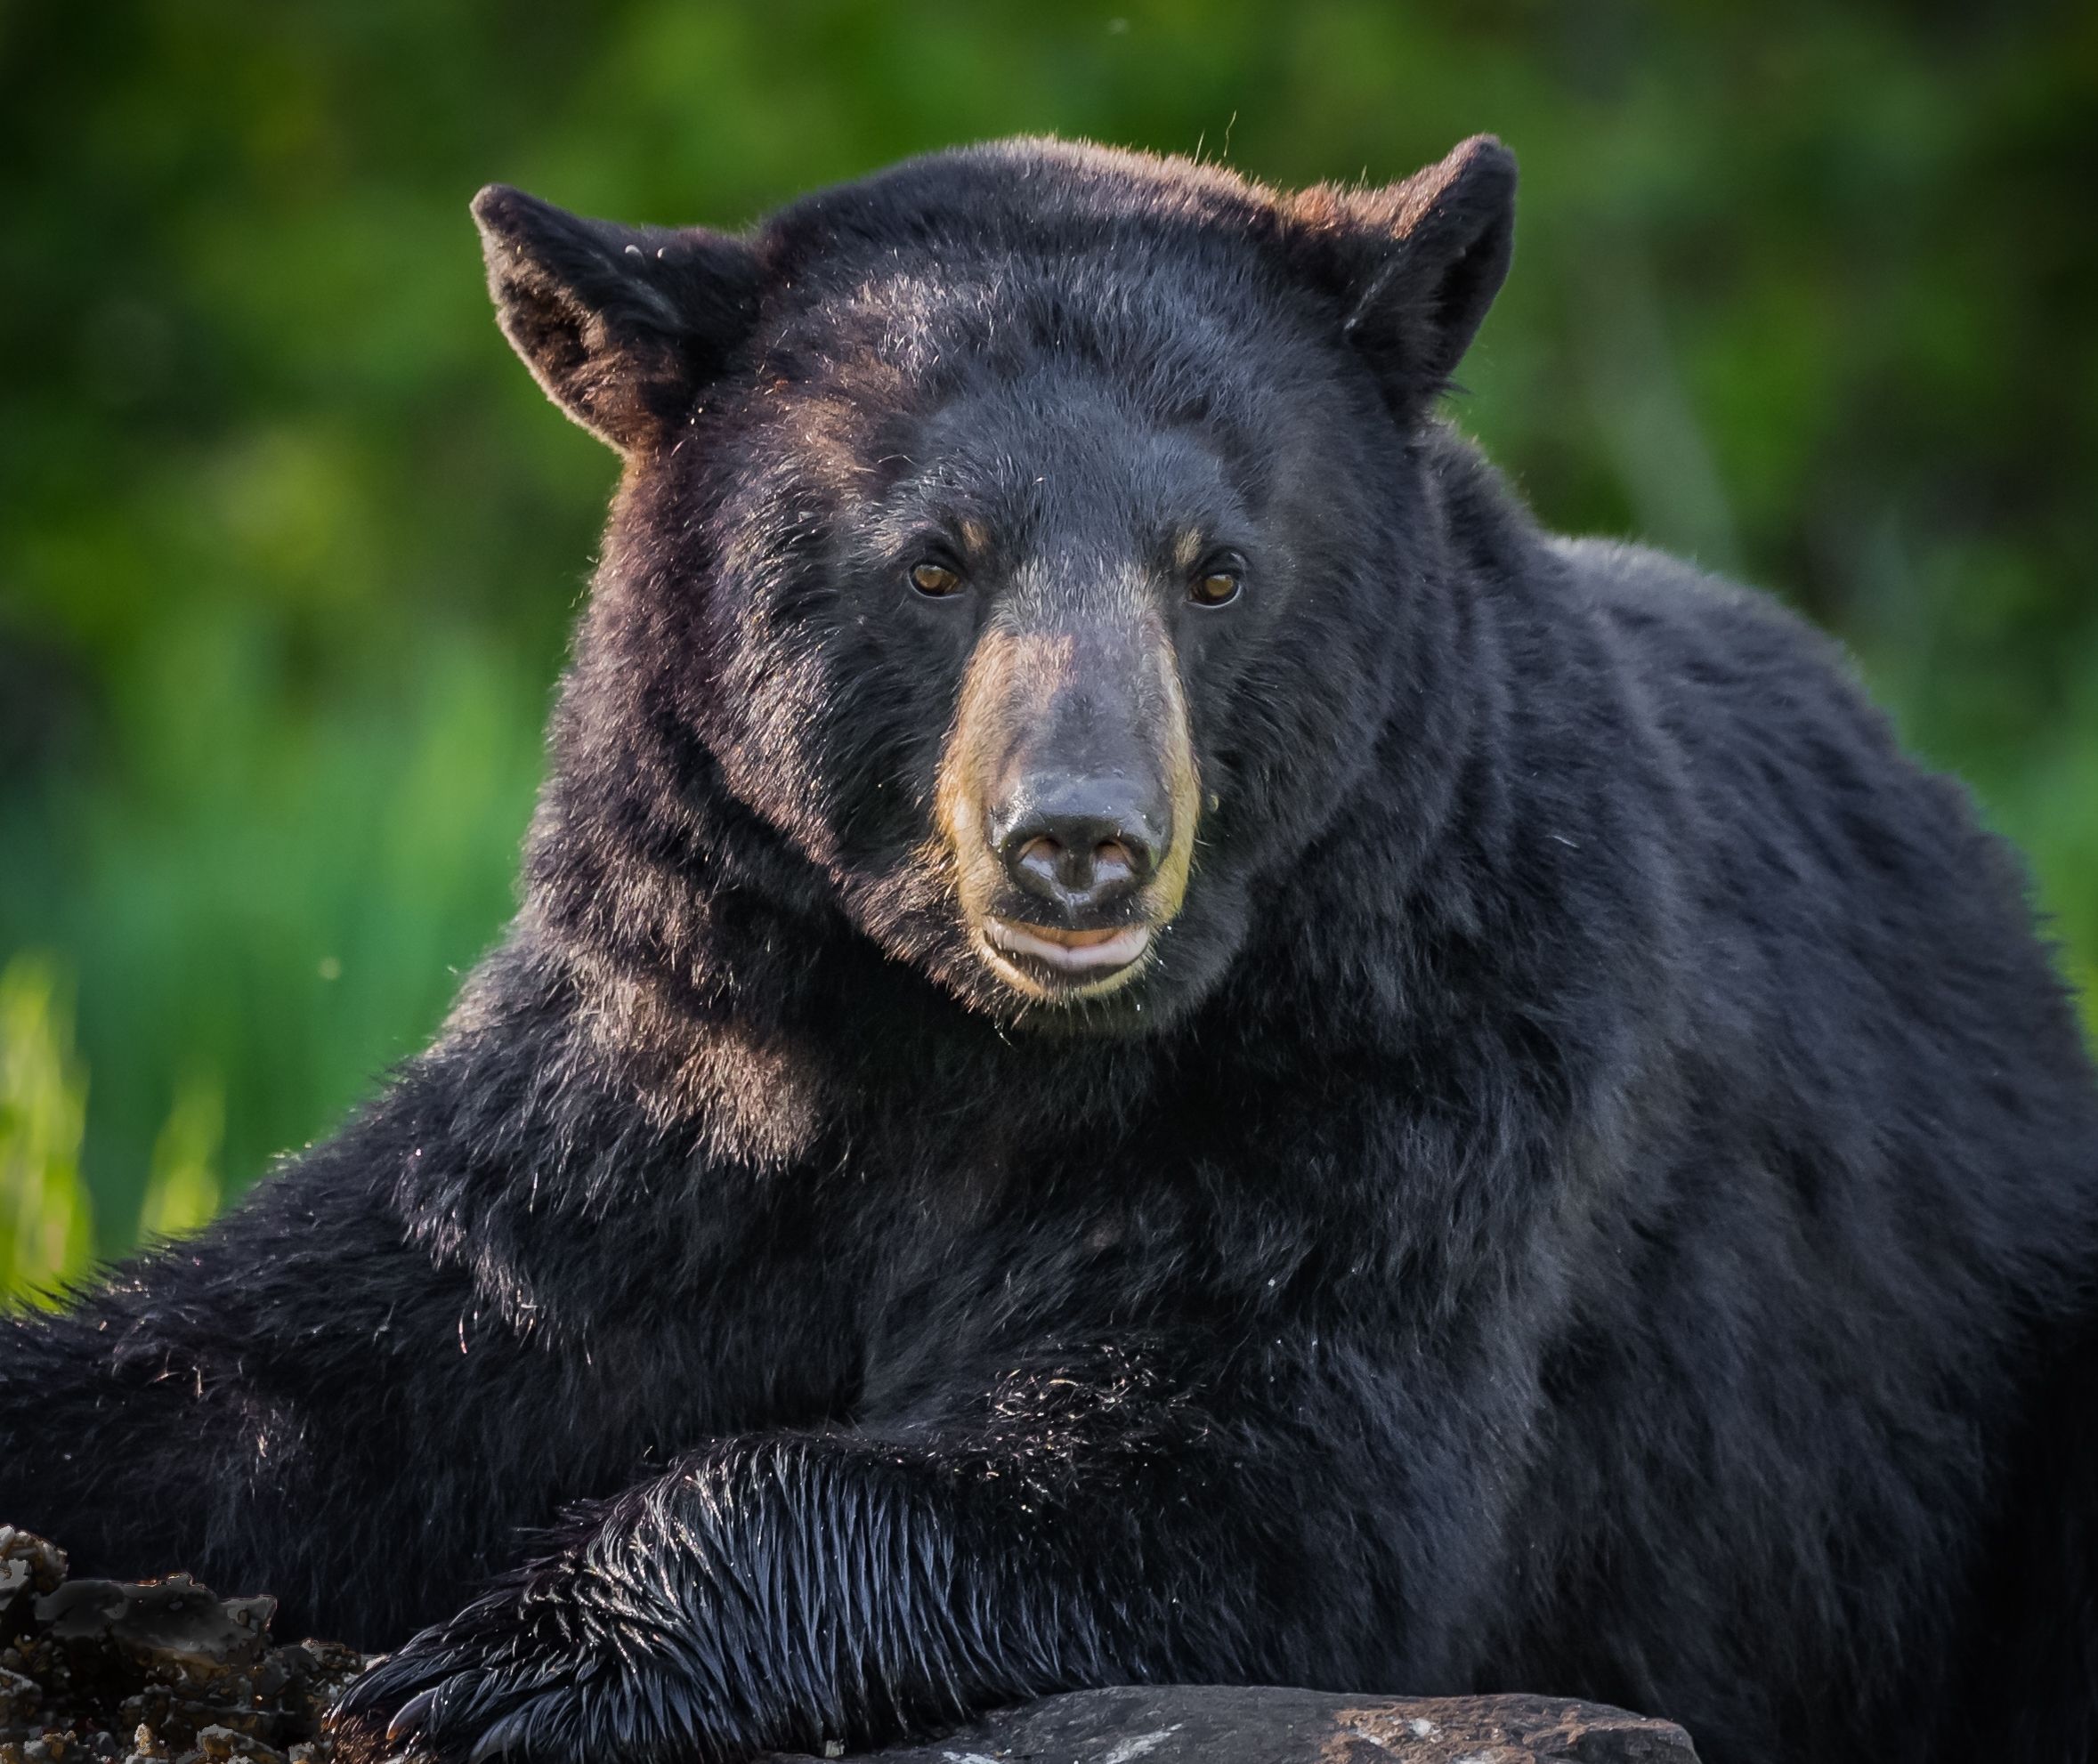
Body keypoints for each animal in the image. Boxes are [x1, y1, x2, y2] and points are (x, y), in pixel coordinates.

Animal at [4, 133, 2097, 1764]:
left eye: (1215, 567)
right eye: (933, 557)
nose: (1079, 845)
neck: (965, 1052)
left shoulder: (1433, 1053)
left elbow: (1245, 1476)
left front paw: (515, 1654)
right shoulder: (666, 1076)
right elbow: (326, 1339)